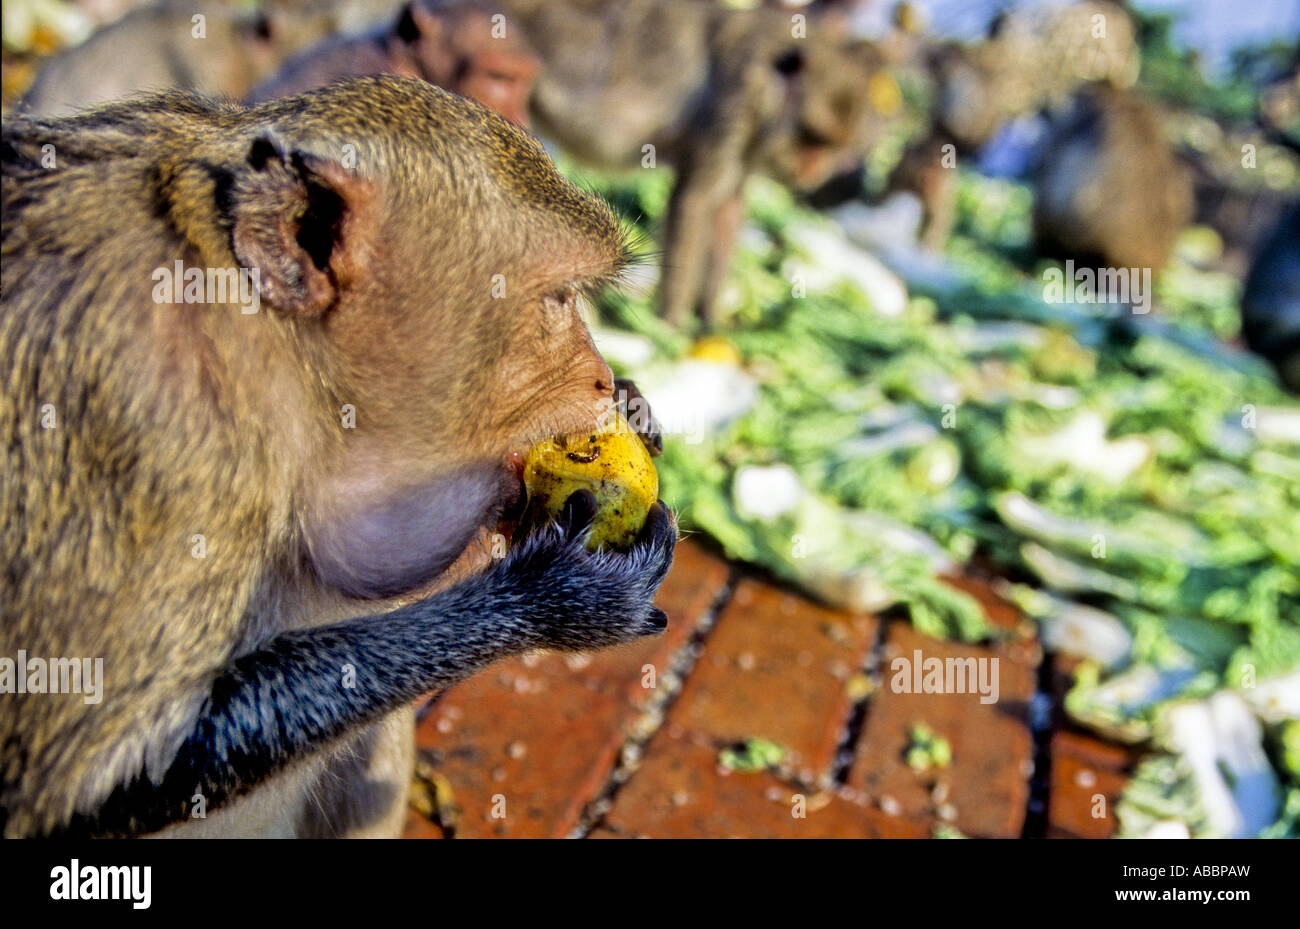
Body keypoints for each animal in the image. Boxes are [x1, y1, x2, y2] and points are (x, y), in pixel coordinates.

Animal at [0, 75, 676, 838]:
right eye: (558, 298)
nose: (600, 377)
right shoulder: (145, 425)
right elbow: (98, 786)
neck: (271, 346)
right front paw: (550, 602)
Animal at [494, 0, 897, 327]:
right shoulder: (730, 112)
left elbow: (727, 211)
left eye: (833, 146)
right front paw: (671, 323)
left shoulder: (746, 145)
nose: (813, 173)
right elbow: (695, 202)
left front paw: (709, 319)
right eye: (812, 138)